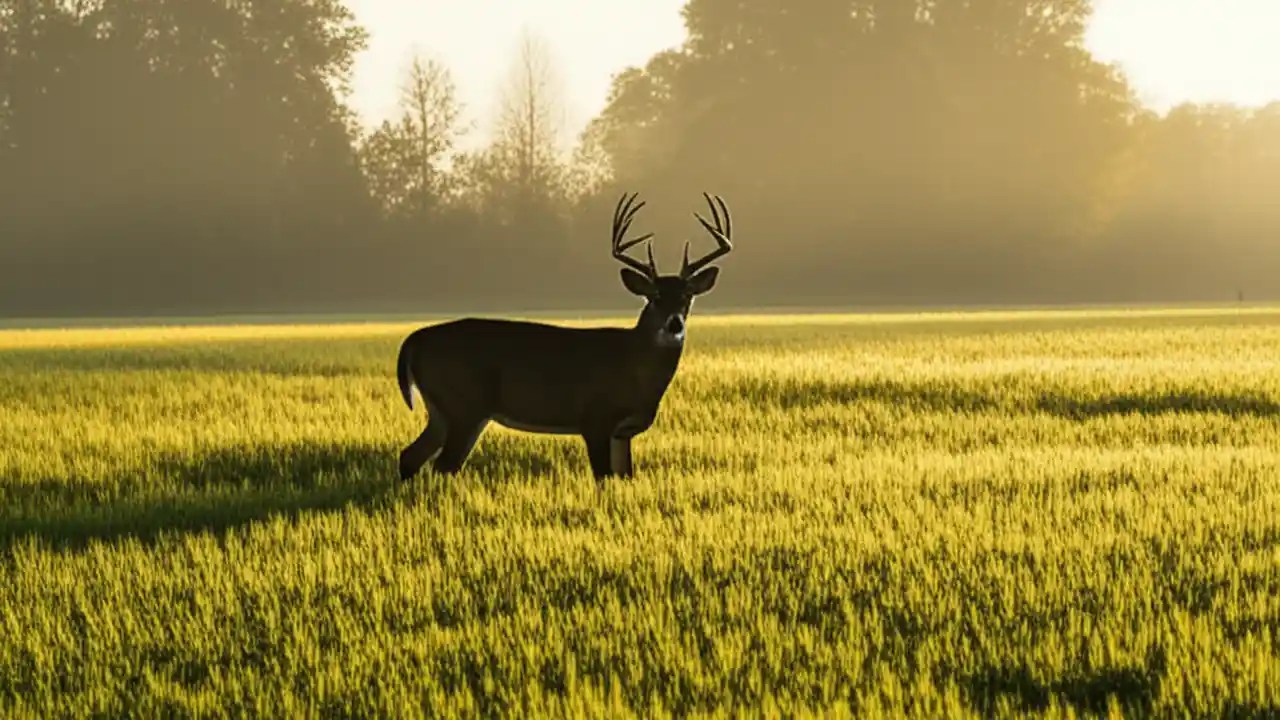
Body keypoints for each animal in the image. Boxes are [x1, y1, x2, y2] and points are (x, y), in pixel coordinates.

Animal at [395, 192, 734, 482]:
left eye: (688, 296)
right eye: (654, 297)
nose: (674, 324)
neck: (634, 368)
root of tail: (414, 340)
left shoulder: (622, 432)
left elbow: (625, 476)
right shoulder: (595, 418)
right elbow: (603, 478)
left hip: (442, 409)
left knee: (411, 456)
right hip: (464, 405)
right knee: (443, 466)